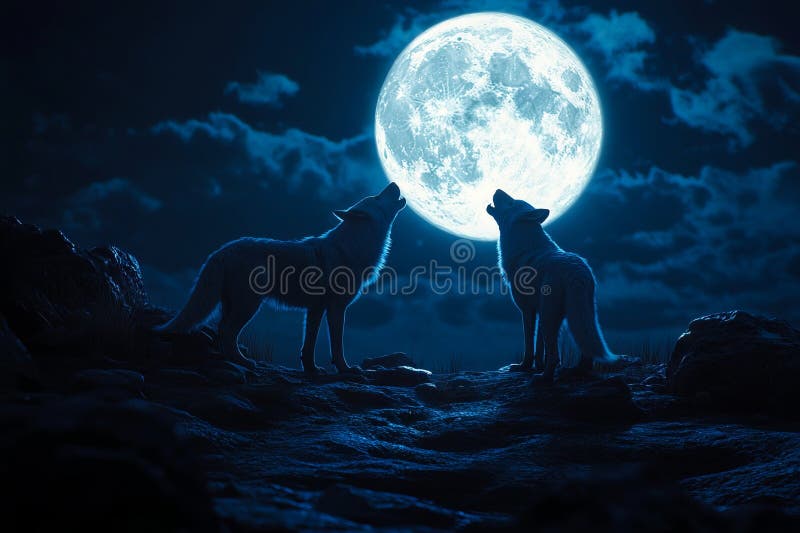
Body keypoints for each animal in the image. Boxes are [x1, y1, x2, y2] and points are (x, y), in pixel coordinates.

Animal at [155, 182, 406, 374]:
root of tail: (221, 252)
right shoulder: (336, 309)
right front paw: (346, 370)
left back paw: (232, 361)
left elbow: (308, 347)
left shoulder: (315, 310)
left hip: (234, 306)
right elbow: (337, 346)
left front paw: (312, 371)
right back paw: (244, 362)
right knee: (227, 333)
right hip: (249, 306)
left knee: (222, 332)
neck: (351, 249)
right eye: (377, 196)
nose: (394, 183)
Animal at [486, 189, 635, 381]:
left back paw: (544, 379)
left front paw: (524, 367)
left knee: (556, 356)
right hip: (576, 318)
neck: (524, 247)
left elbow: (529, 346)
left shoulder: (528, 311)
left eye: (511, 202)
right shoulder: (539, 311)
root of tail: (576, 272)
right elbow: (539, 349)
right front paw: (537, 367)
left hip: (551, 319)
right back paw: (576, 372)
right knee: (586, 352)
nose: (497, 189)